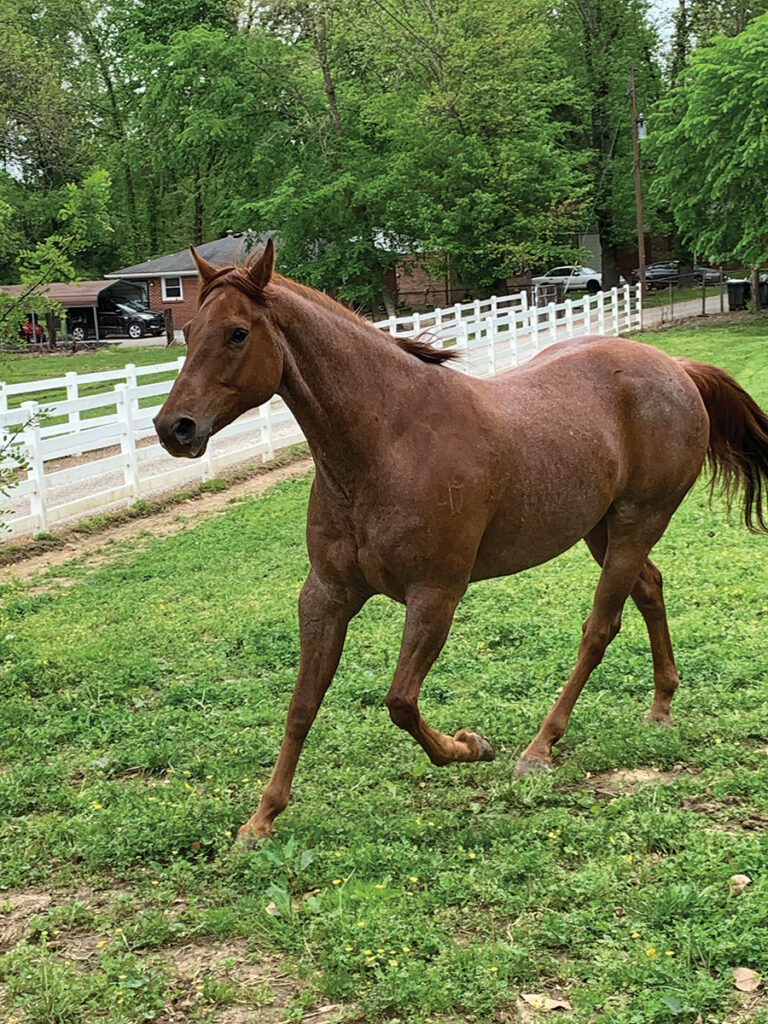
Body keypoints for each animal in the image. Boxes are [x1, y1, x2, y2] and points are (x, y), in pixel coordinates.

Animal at [154, 240, 768, 842]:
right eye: (189, 332)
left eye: (238, 332)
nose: (172, 427)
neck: (386, 444)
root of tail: (676, 368)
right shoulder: (326, 595)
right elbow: (302, 705)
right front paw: (261, 818)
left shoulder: (436, 595)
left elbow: (400, 702)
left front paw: (472, 746)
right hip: (605, 531)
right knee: (650, 591)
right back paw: (661, 704)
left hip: (638, 525)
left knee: (599, 629)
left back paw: (540, 747)